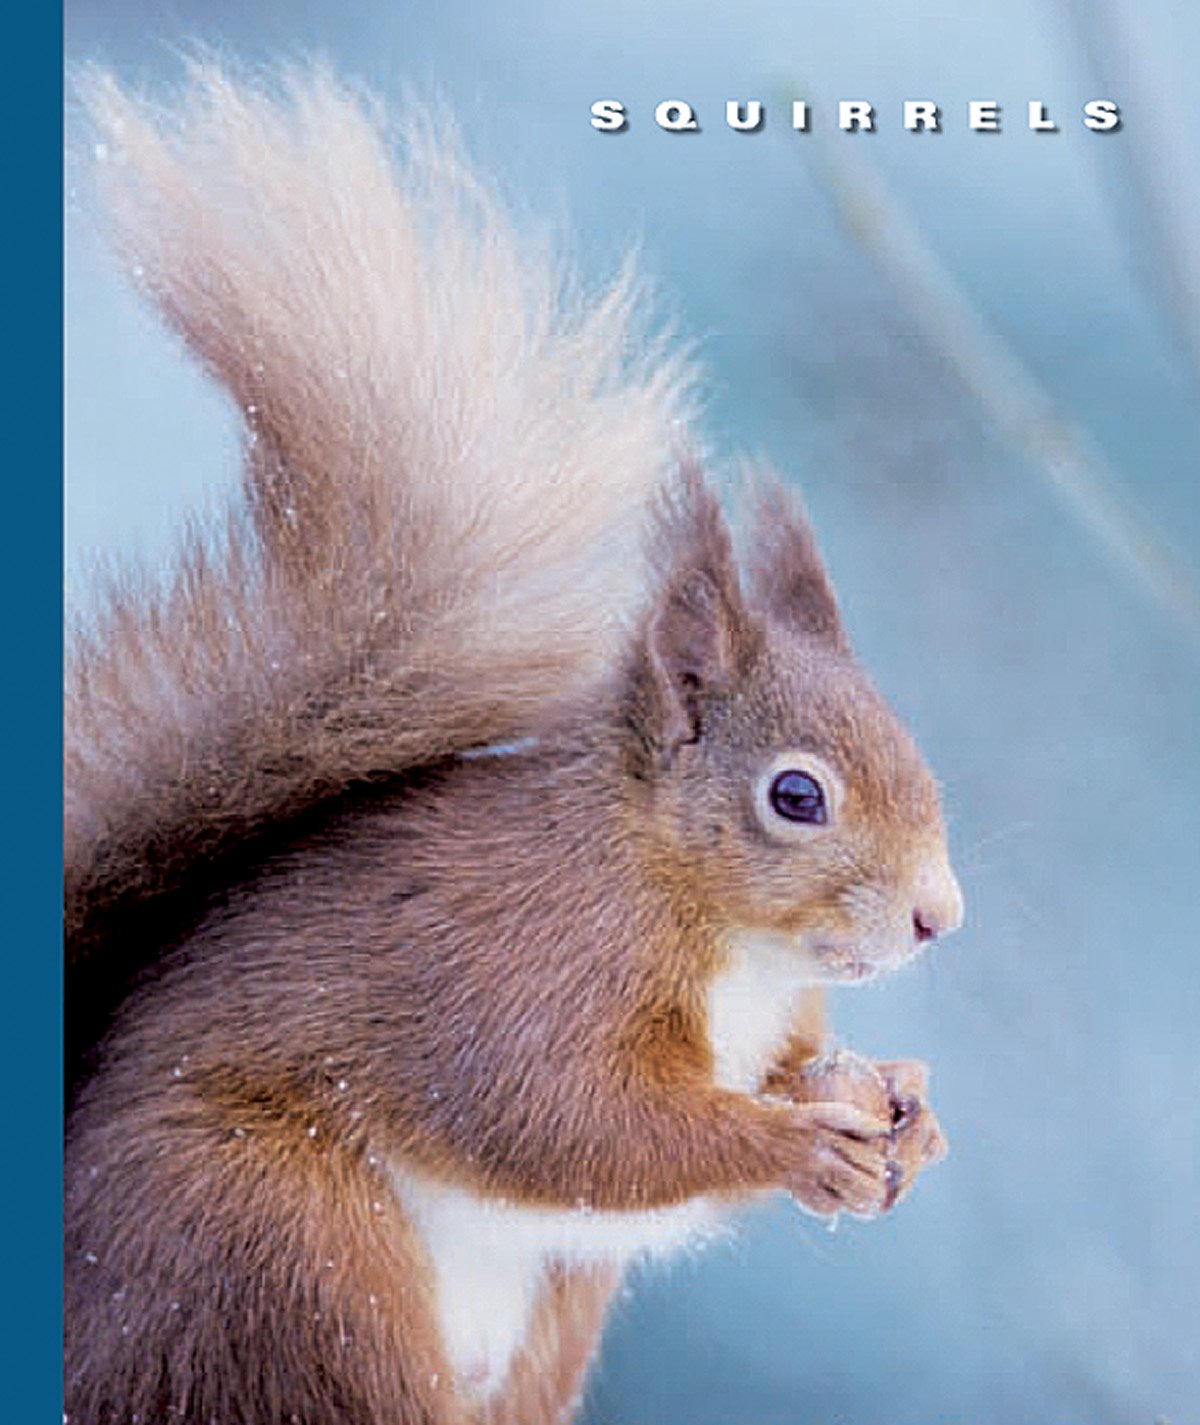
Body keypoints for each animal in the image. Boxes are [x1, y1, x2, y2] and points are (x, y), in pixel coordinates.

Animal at [64, 65, 964, 1425]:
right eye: (797, 796)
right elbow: (568, 1123)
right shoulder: (529, 972)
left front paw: (897, 1102)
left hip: (540, 1310)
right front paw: (794, 1142)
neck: (722, 933)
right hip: (284, 1242)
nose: (937, 918)